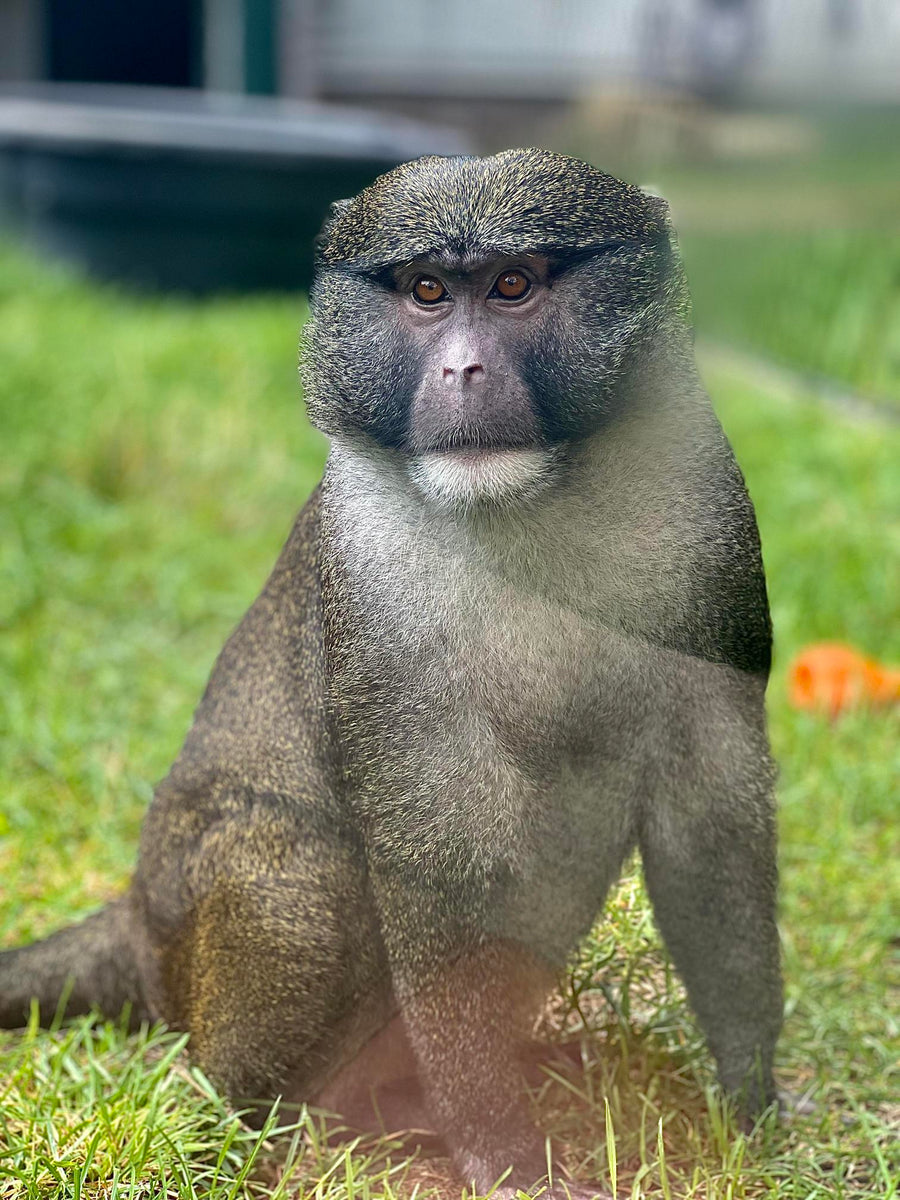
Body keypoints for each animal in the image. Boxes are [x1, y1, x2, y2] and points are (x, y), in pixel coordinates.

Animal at [0, 149, 783, 1200]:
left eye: (512, 285)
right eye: (425, 292)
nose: (461, 369)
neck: (537, 510)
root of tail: (133, 923)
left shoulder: (704, 502)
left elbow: (710, 820)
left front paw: (751, 1102)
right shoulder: (374, 573)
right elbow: (437, 857)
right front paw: (500, 1151)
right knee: (296, 882)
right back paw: (232, 1130)